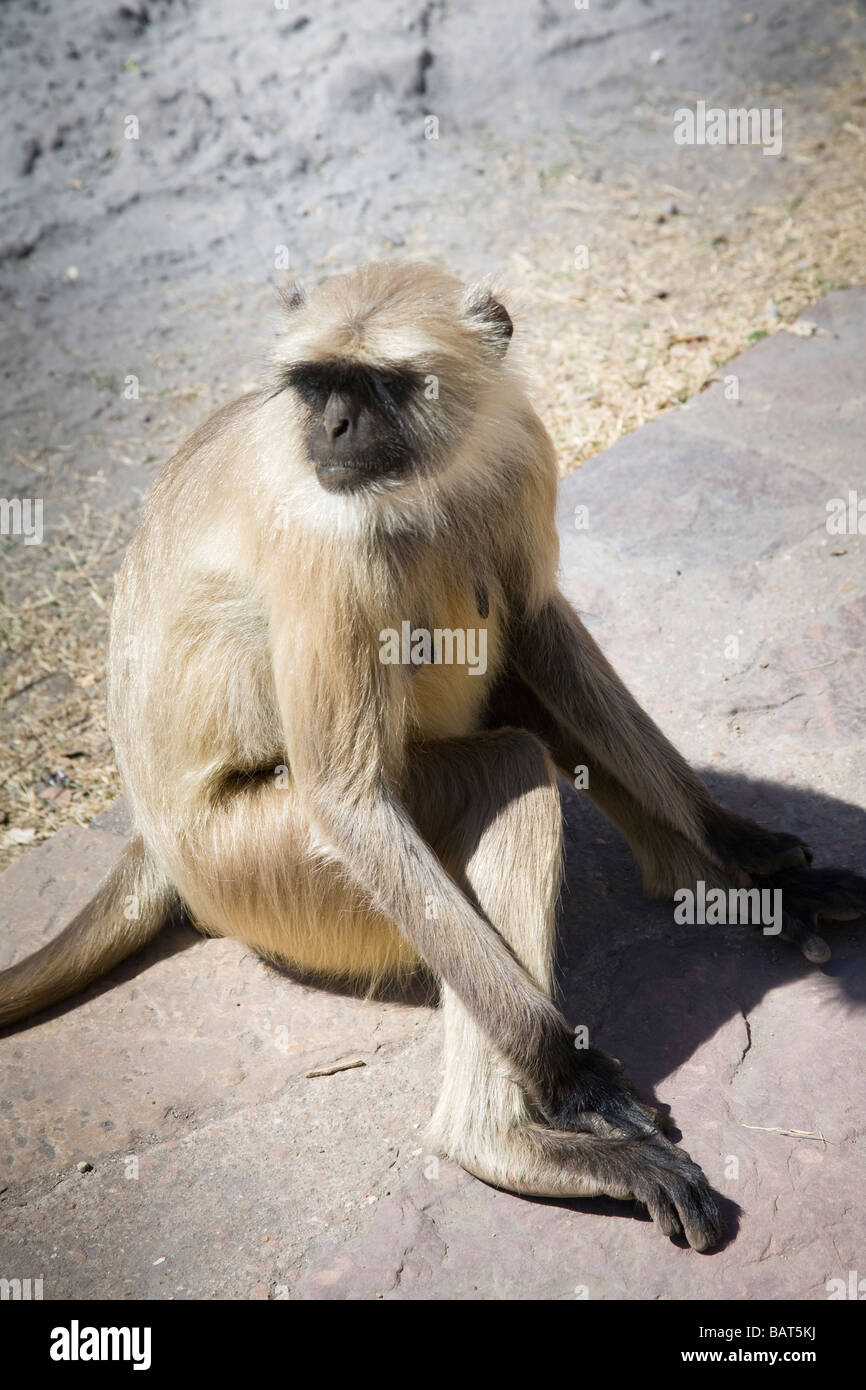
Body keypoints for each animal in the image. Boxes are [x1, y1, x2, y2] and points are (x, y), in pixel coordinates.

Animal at [2, 260, 865, 1252]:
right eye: (318, 387)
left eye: (378, 386)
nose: (334, 429)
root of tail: (157, 839)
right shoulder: (326, 534)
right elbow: (347, 800)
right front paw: (568, 1078)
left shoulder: (518, 451)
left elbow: (537, 625)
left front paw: (743, 847)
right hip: (260, 869)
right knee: (506, 767)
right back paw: (505, 1144)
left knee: (514, 673)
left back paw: (718, 886)